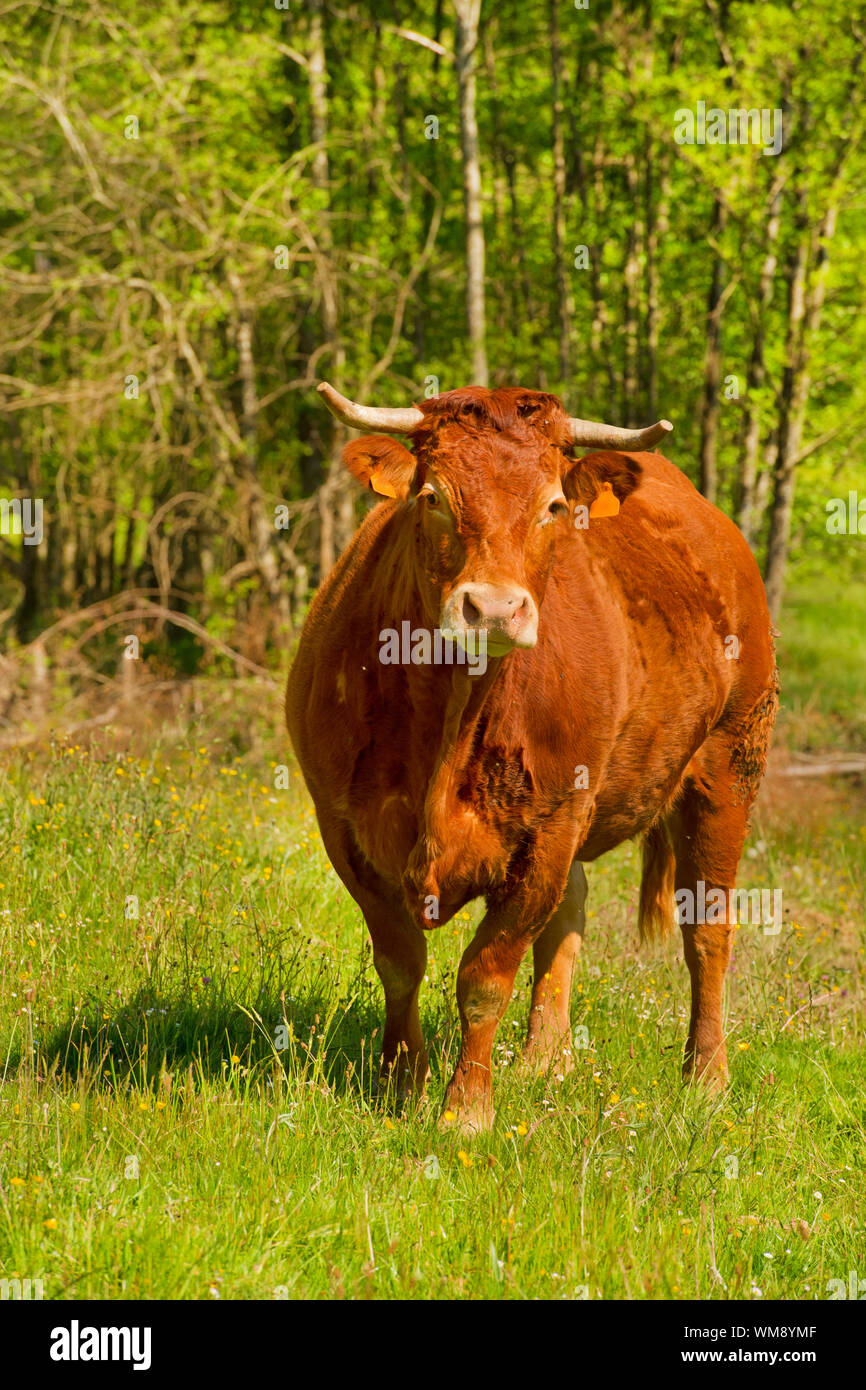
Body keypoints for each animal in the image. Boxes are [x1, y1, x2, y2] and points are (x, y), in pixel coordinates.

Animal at [286, 382, 778, 1133]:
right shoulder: (343, 827)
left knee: (708, 928)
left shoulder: (547, 832)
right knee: (570, 919)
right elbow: (400, 961)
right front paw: (402, 1084)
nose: (493, 608)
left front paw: (466, 1107)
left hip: (729, 765)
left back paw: (706, 1076)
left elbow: (486, 975)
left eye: (551, 506)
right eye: (432, 496)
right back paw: (545, 1060)